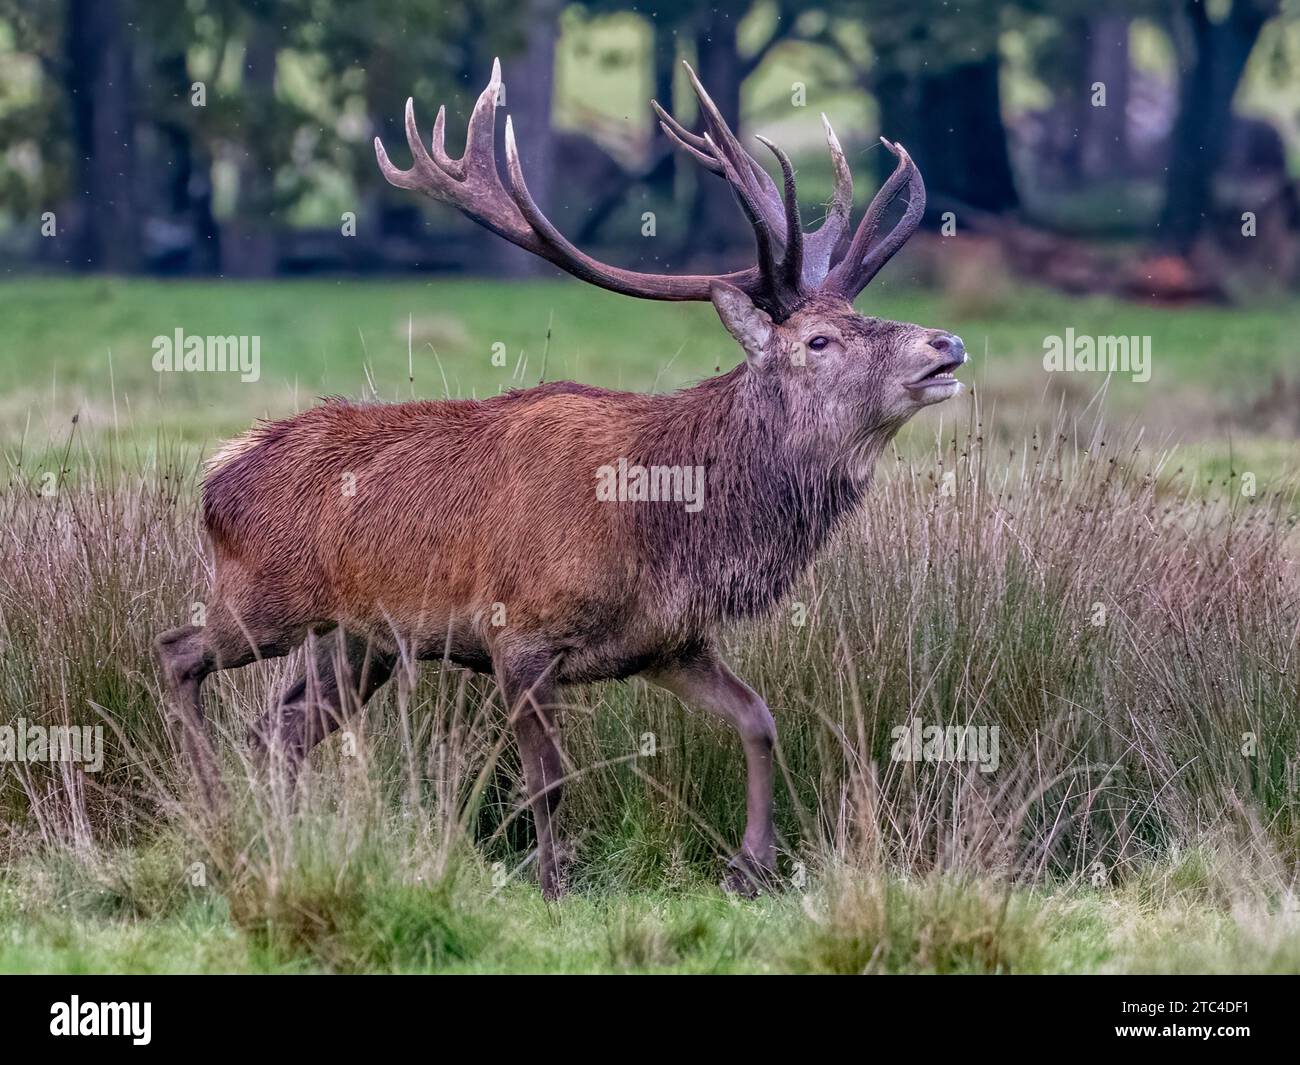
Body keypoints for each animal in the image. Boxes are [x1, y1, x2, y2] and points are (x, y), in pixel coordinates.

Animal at [156, 59, 967, 899]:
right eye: (819, 340)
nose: (946, 343)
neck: (664, 523)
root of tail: (219, 472)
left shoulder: (669, 642)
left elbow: (760, 720)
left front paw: (751, 864)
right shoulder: (519, 633)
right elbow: (547, 777)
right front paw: (554, 886)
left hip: (357, 642)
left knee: (275, 730)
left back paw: (273, 837)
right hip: (264, 597)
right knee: (177, 652)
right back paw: (214, 813)